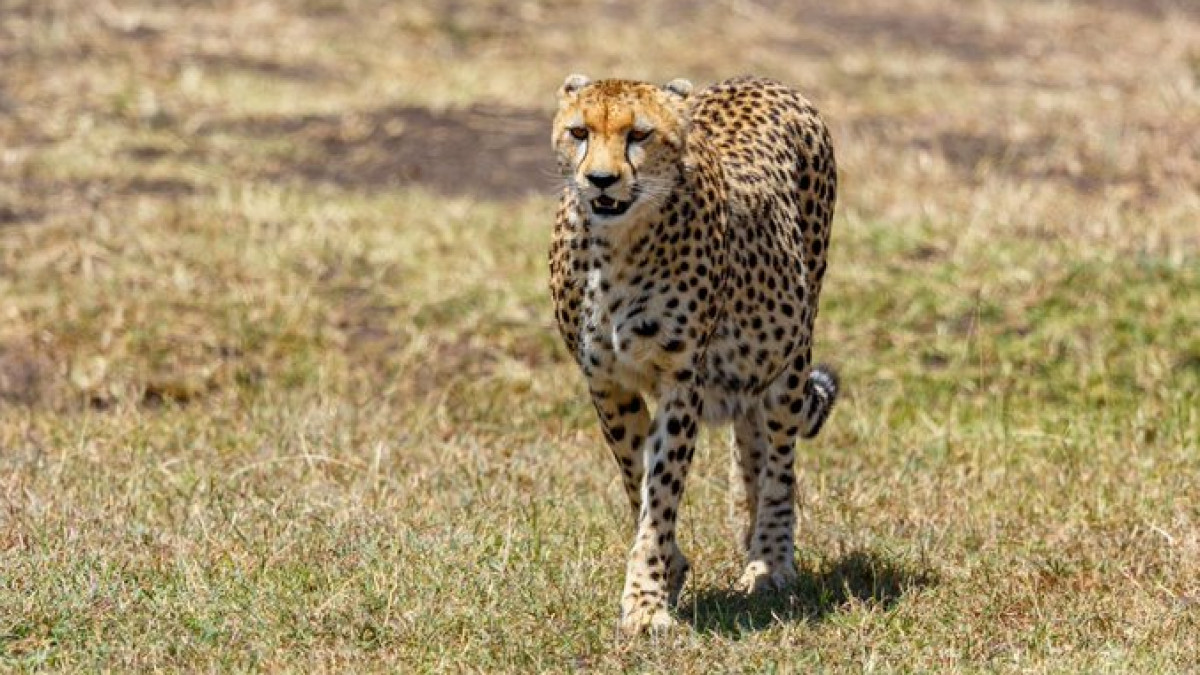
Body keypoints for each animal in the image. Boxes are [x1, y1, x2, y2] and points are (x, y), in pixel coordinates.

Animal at [548, 73, 840, 635]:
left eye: (639, 134)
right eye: (578, 131)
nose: (600, 180)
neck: (617, 245)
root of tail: (764, 79)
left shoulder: (682, 380)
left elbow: (661, 488)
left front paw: (646, 602)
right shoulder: (605, 381)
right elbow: (636, 475)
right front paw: (670, 572)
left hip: (791, 354)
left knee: (780, 460)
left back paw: (769, 560)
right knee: (750, 443)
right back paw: (748, 533)